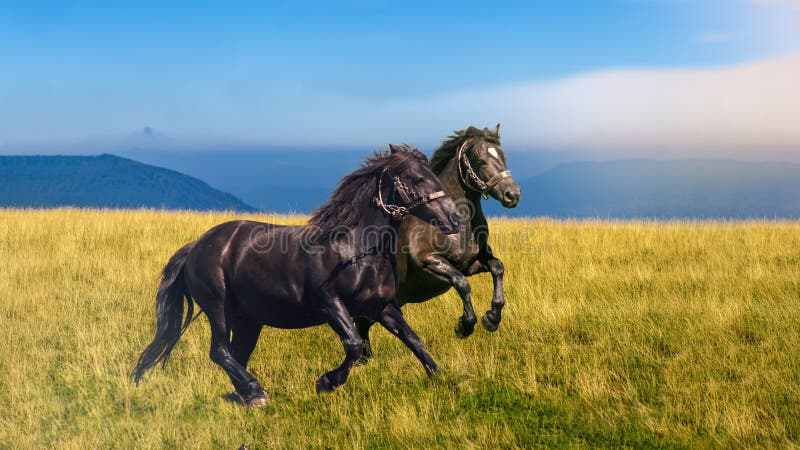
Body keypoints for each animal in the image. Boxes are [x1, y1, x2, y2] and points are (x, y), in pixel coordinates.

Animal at [133, 144, 462, 406]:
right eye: (418, 178)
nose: (455, 217)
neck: (354, 249)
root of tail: (196, 246)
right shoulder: (330, 305)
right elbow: (354, 344)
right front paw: (326, 382)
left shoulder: (382, 307)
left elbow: (413, 339)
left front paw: (442, 378)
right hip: (218, 307)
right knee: (220, 351)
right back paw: (256, 392)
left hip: (248, 320)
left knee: (236, 354)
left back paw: (244, 395)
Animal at [354, 125, 521, 363]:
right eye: (481, 161)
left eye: (503, 157)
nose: (512, 195)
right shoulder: (429, 262)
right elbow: (462, 283)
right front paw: (464, 326)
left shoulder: (473, 262)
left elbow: (497, 267)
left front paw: (492, 318)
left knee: (362, 323)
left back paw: (365, 360)